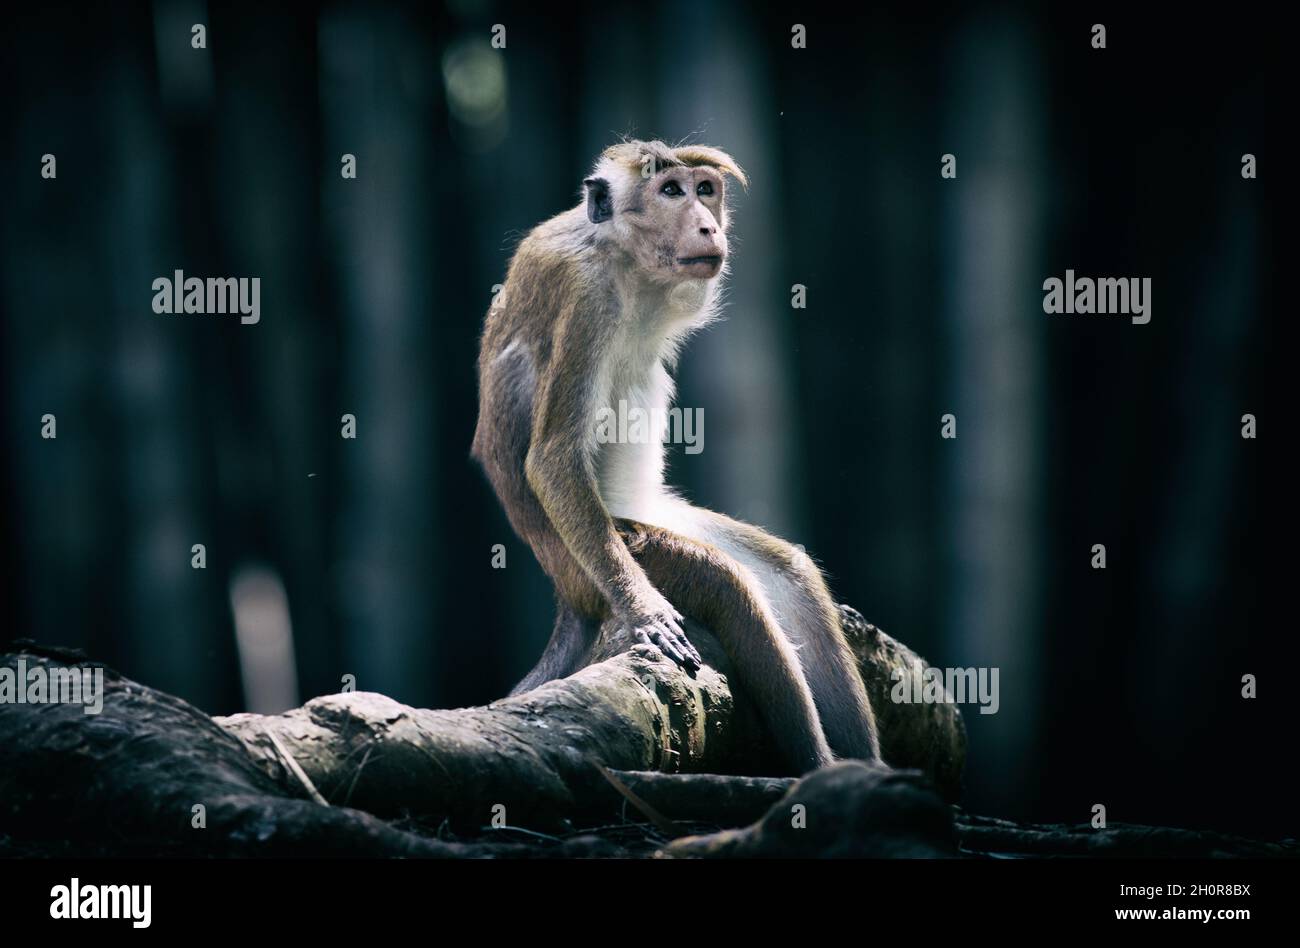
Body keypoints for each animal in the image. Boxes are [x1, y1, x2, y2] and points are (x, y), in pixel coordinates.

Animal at [471, 139, 880, 774]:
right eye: (671, 192)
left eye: (705, 190)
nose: (709, 225)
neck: (622, 257)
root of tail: (567, 594)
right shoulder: (586, 296)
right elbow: (554, 458)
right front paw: (646, 612)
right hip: (606, 554)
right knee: (727, 585)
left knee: (789, 571)